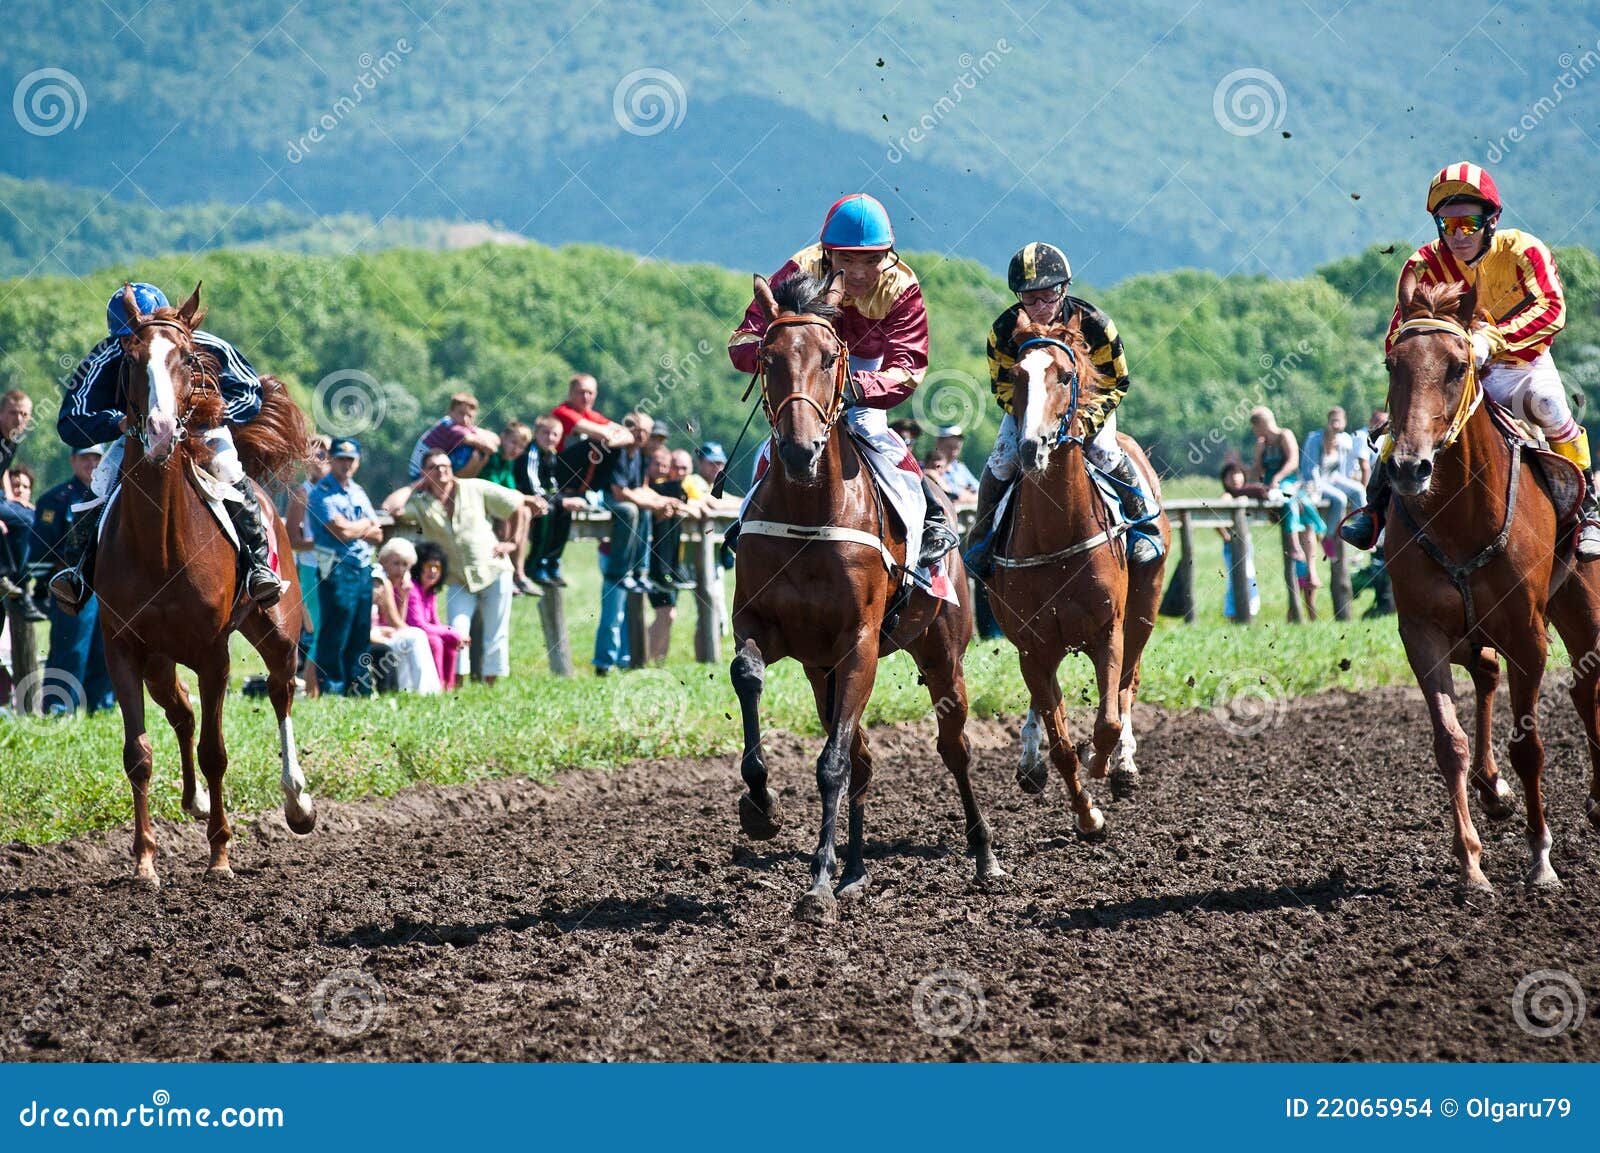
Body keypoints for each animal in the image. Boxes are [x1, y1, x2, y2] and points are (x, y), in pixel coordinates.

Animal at [94, 283, 316, 888]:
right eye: (129, 360)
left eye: (189, 359)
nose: (161, 430)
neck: (160, 545)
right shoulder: (122, 648)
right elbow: (138, 754)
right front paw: (144, 861)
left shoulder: (213, 651)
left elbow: (217, 751)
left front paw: (220, 855)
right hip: (159, 660)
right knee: (182, 711)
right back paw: (192, 800)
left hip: (276, 628)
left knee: (281, 691)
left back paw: (297, 803)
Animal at [729, 271, 1002, 921]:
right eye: (769, 358)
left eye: (832, 359)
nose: (798, 451)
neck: (810, 514)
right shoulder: (761, 623)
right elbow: (747, 675)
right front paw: (760, 806)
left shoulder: (860, 644)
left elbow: (830, 765)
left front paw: (817, 886)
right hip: (820, 671)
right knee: (863, 759)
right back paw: (854, 868)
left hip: (941, 653)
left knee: (954, 747)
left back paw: (983, 854)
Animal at [985, 307, 1170, 837]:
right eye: (1016, 376)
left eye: (1066, 375)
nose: (1031, 447)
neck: (1056, 537)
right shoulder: (1033, 643)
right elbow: (1062, 741)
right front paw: (1086, 813)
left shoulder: (1108, 630)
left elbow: (1106, 721)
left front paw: (1105, 763)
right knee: (1046, 700)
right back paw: (1031, 761)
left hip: (1144, 611)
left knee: (1128, 684)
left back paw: (1124, 765)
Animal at [1383, 278, 1600, 891]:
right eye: (1392, 365)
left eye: (1458, 367)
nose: (1408, 468)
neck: (1459, 516)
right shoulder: (1423, 632)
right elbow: (1448, 742)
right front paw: (1470, 861)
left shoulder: (1528, 633)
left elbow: (1529, 746)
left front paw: (1541, 857)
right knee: (1488, 674)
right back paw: (1494, 789)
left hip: (1582, 609)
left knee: (1586, 689)